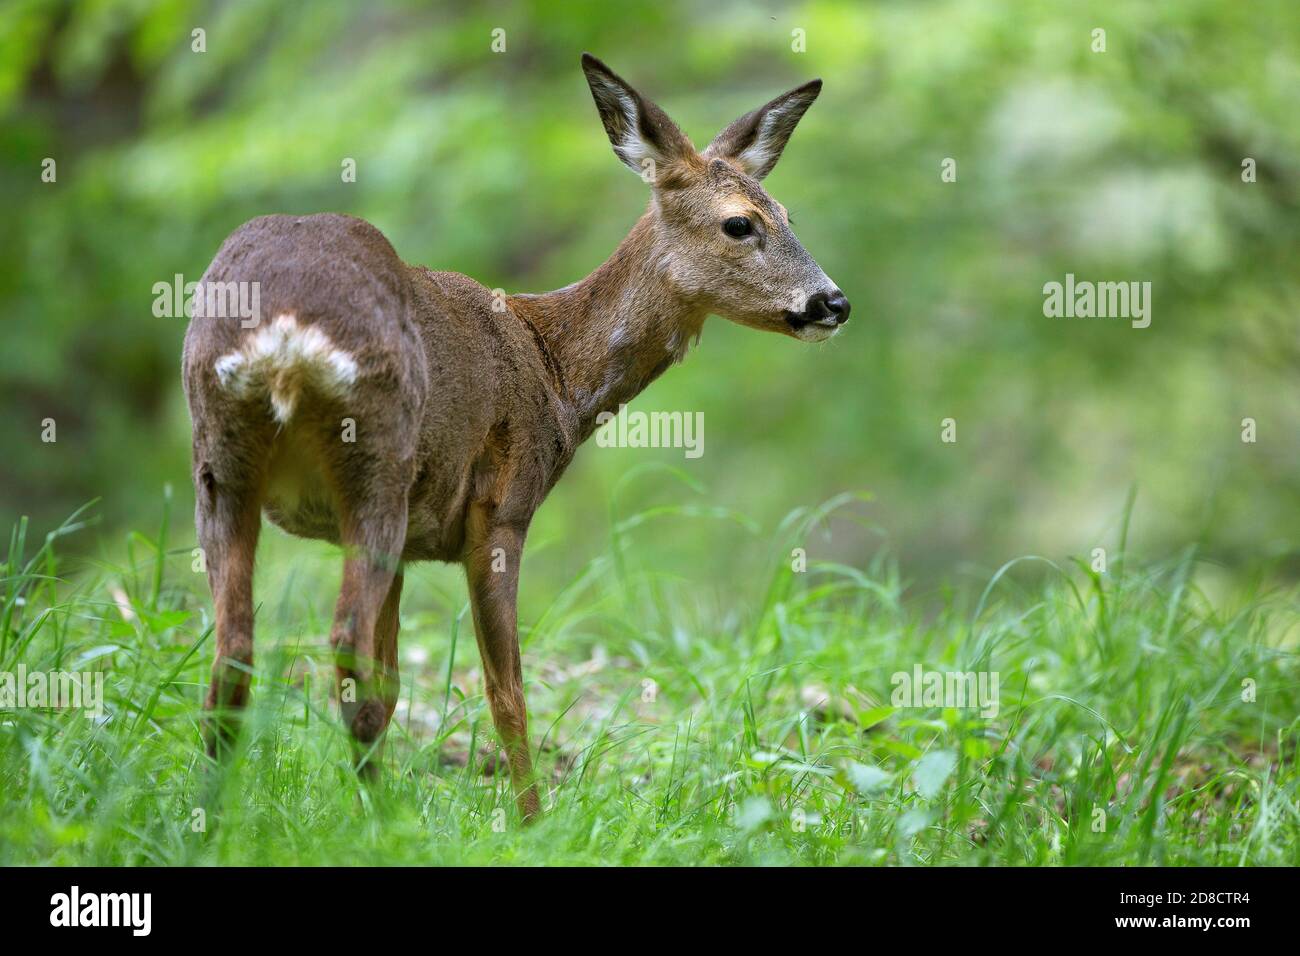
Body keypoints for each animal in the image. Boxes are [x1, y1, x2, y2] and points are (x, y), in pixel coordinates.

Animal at [182, 54, 849, 822]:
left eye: (789, 215)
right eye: (740, 223)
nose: (833, 302)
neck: (555, 371)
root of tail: (283, 330)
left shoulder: (412, 539)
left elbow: (394, 681)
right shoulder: (501, 510)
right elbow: (507, 693)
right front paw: (533, 822)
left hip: (221, 465)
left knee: (234, 650)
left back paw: (212, 818)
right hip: (375, 461)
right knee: (340, 640)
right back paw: (380, 821)